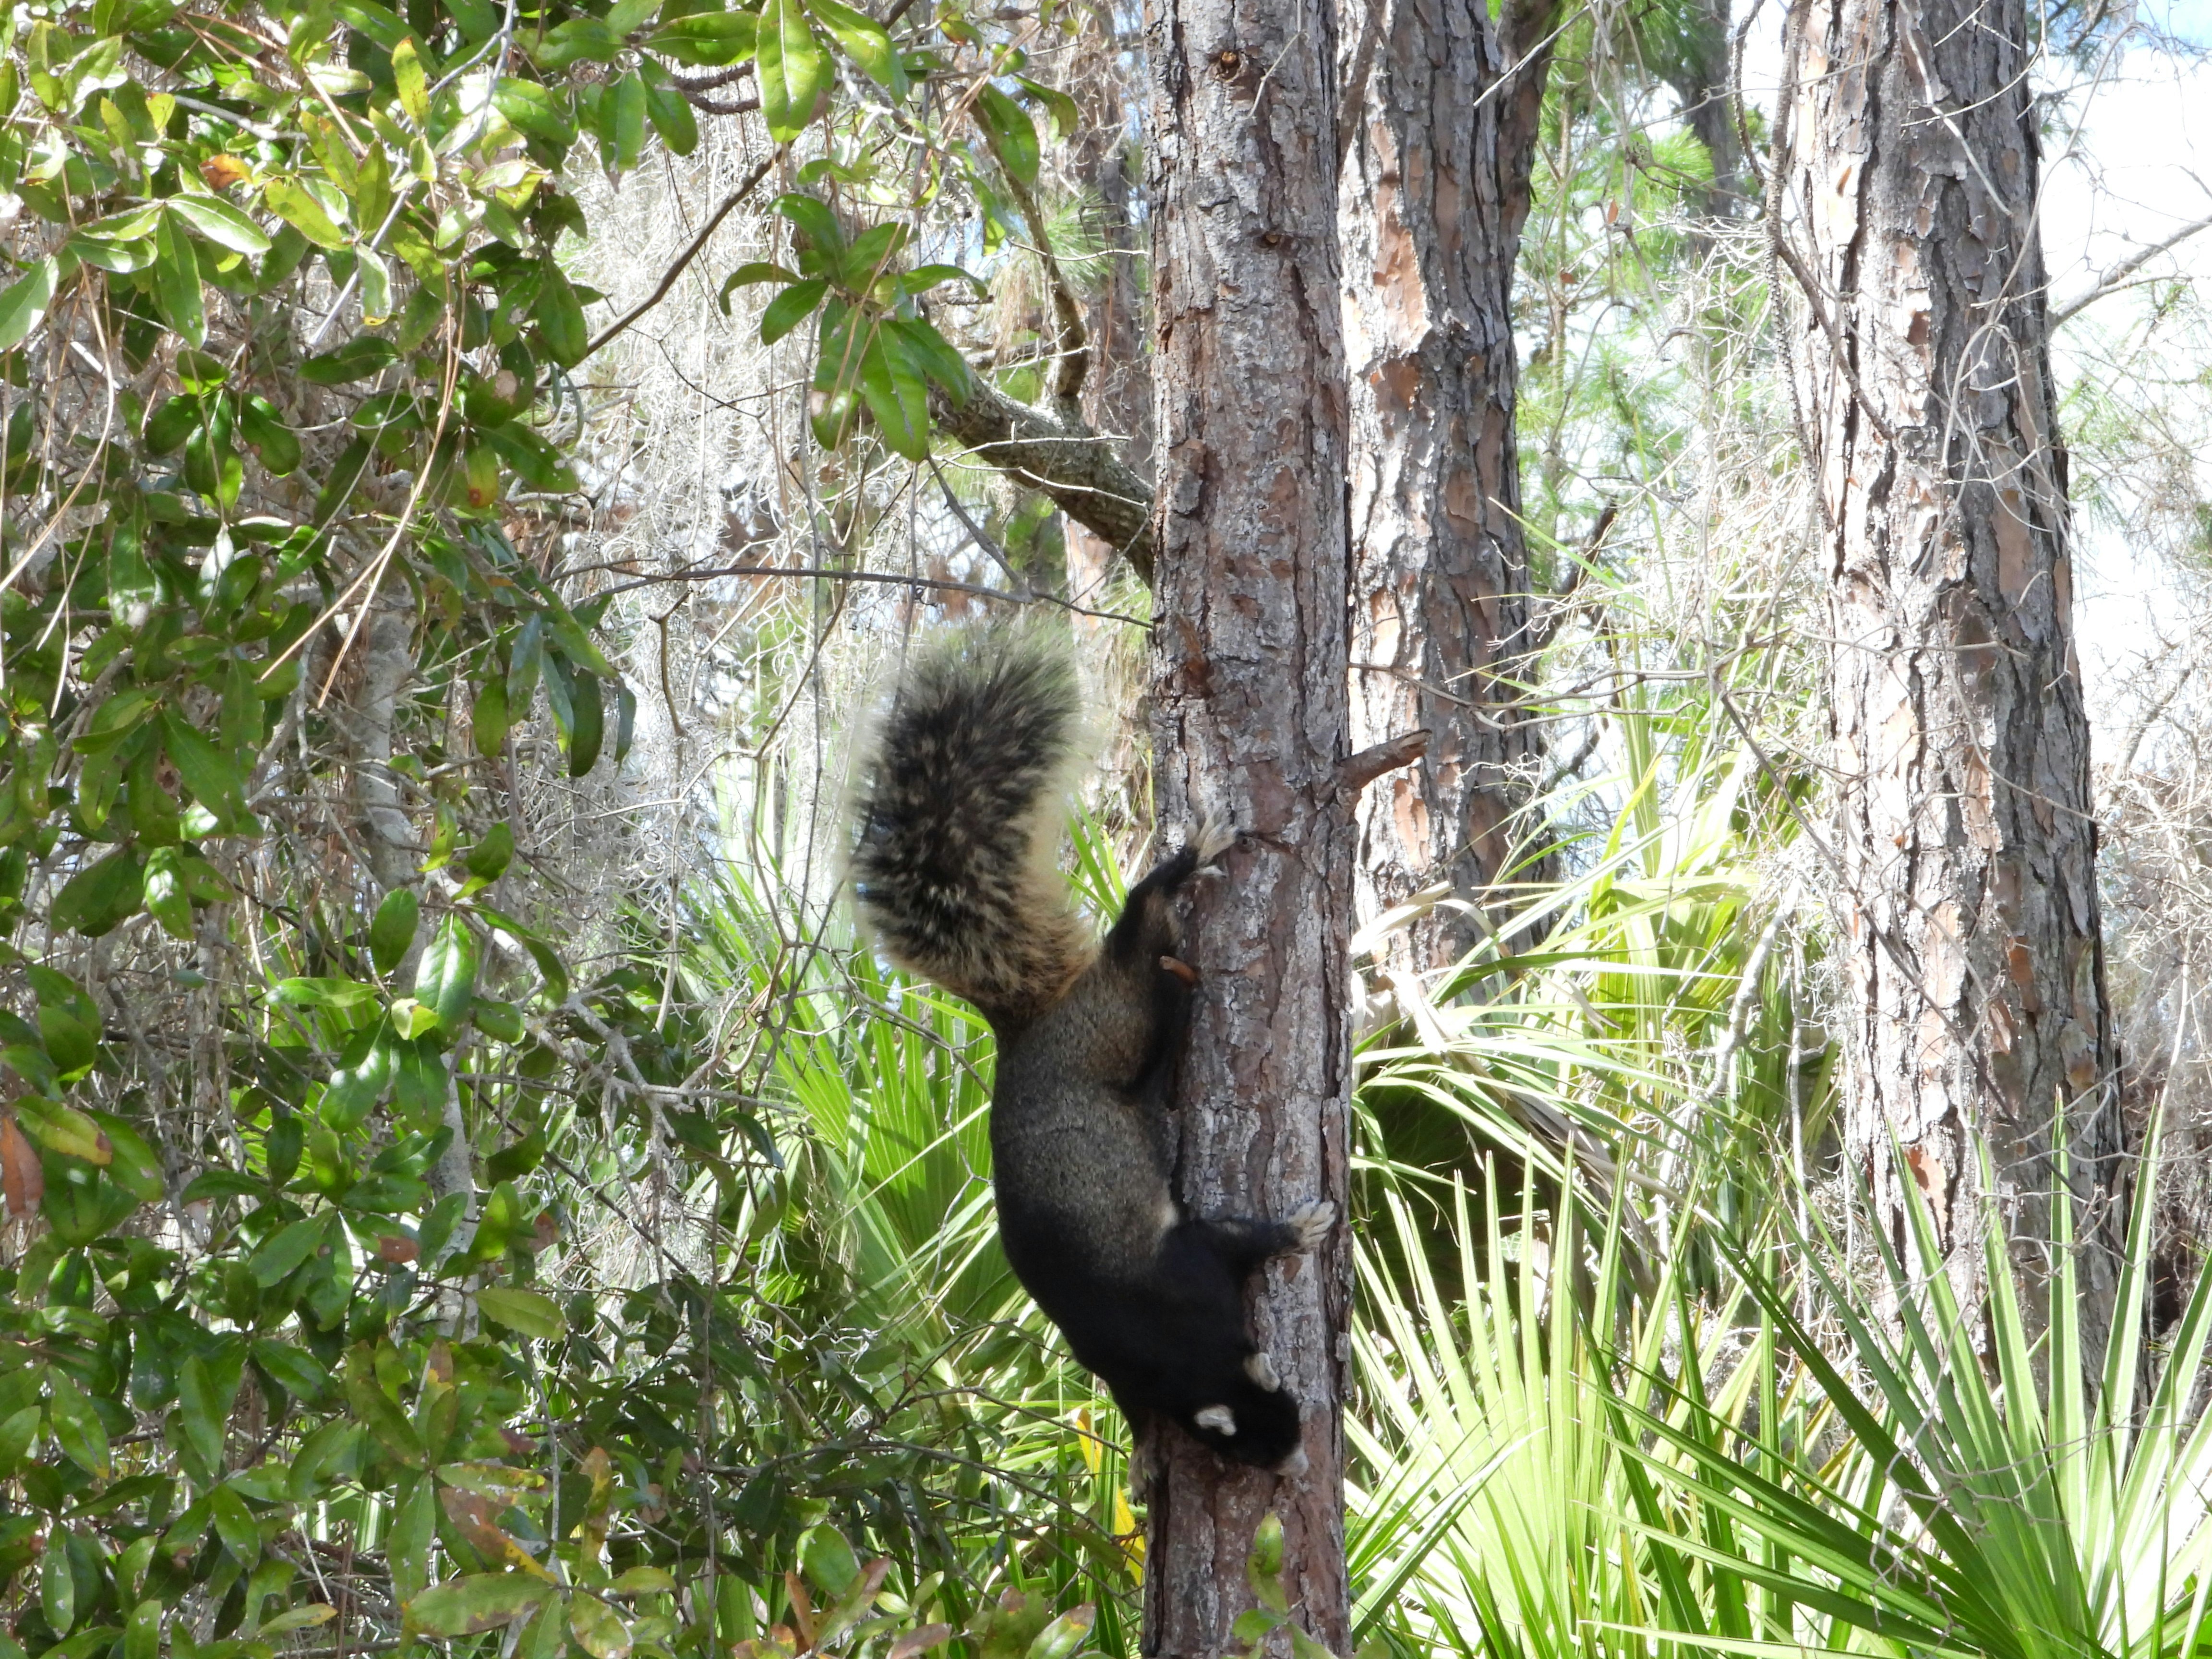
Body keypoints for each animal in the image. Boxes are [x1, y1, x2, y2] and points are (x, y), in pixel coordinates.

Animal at [848, 627, 1332, 1473]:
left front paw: (1301, 1230)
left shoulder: (1190, 1261)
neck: (1167, 1339)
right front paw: (1141, 1455)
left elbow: (1242, 1238)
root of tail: (1031, 1024)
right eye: (1253, 1446)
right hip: (1124, 1025)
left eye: (1288, 1409)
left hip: (1118, 1017)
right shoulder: (1135, 1327)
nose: (1296, 1466)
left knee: (1142, 921)